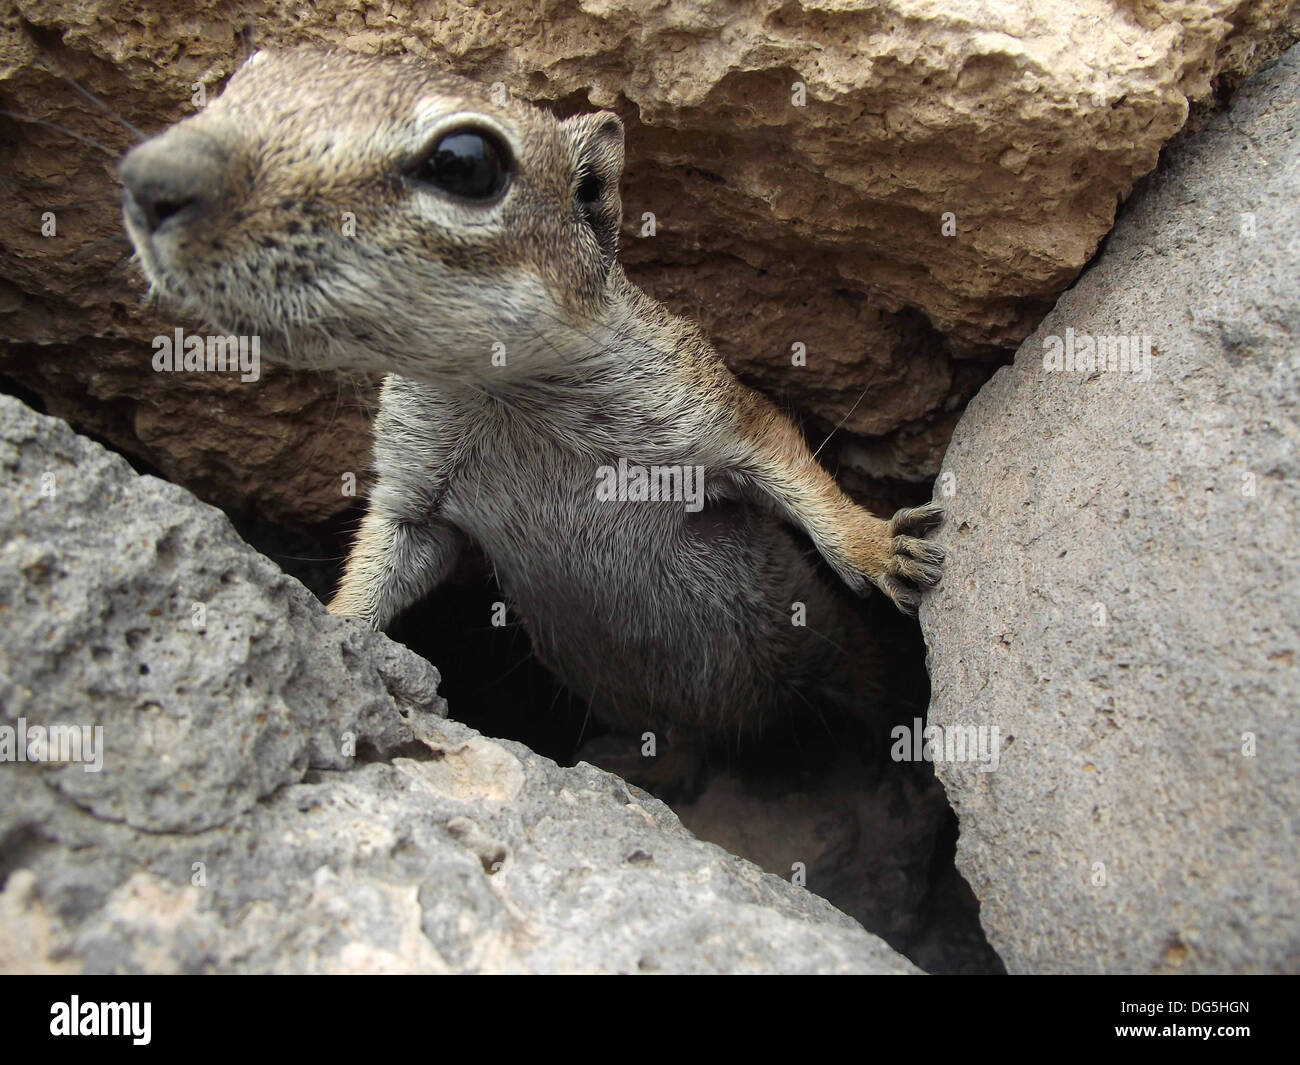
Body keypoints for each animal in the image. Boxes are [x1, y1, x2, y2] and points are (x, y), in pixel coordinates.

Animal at [120, 49, 944, 738]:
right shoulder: (415, 486)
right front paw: (335, 628)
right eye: (240, 79)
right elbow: (384, 557)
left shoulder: (706, 407)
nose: (146, 180)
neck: (500, 389)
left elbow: (788, 463)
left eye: (464, 162)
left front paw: (878, 544)